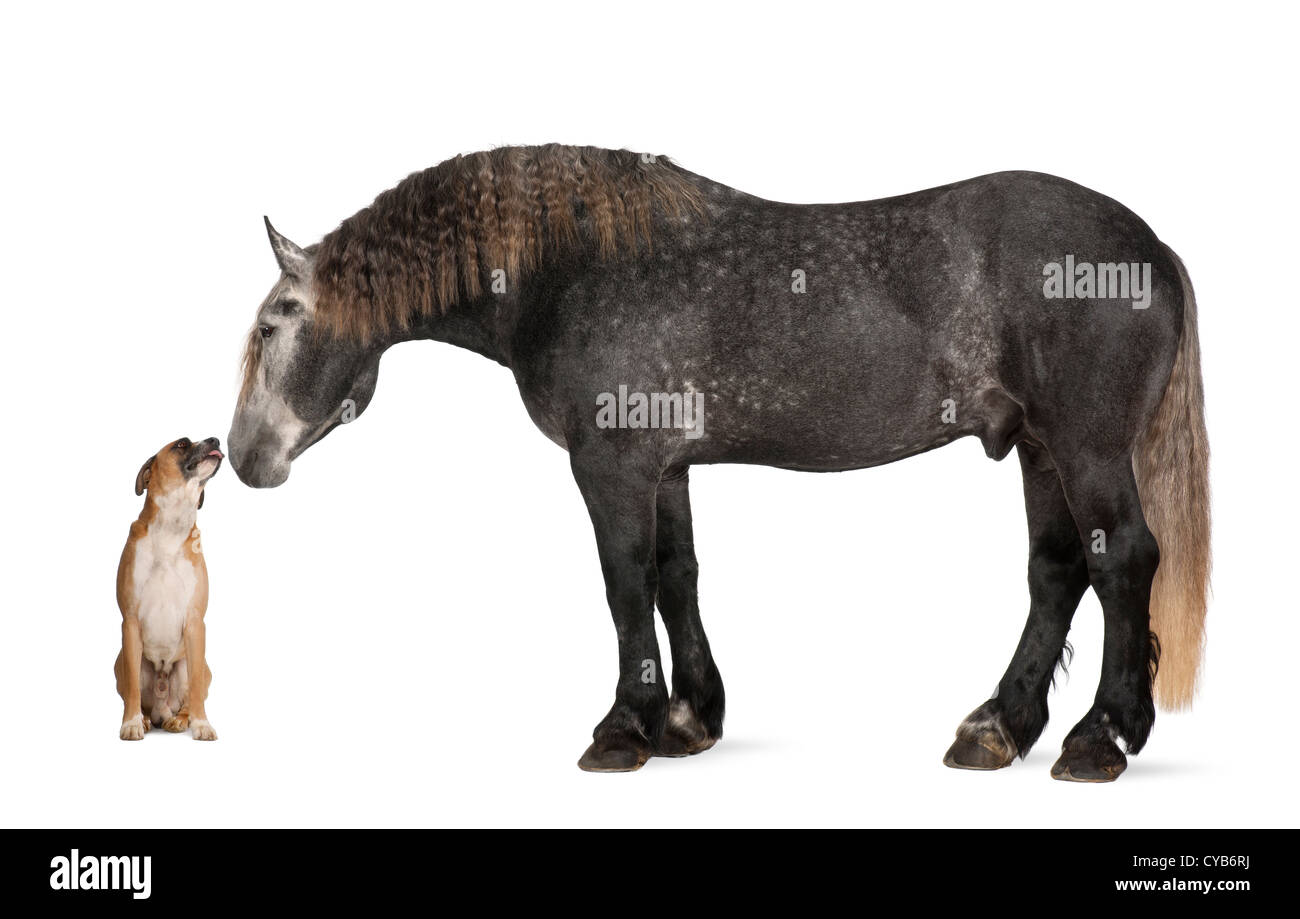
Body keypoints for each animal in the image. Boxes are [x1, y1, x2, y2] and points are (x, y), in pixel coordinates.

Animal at [228, 144, 1209, 781]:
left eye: (273, 325)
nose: (242, 457)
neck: (573, 269)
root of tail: (1152, 248)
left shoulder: (612, 467)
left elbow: (625, 583)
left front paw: (622, 728)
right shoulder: (665, 468)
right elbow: (677, 575)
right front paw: (689, 716)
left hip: (1084, 447)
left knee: (1123, 561)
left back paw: (1100, 737)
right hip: (1038, 449)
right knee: (1057, 572)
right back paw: (998, 726)